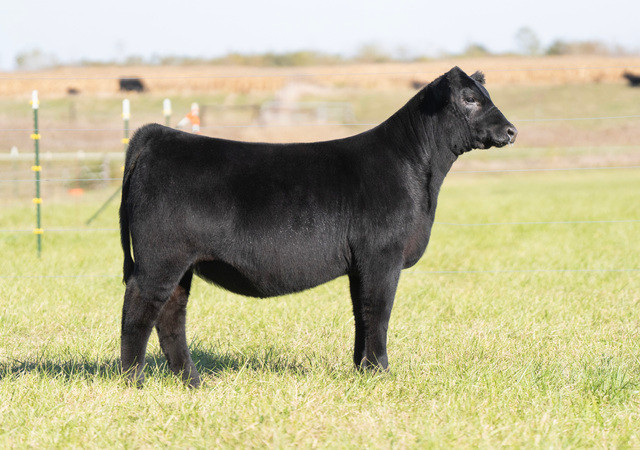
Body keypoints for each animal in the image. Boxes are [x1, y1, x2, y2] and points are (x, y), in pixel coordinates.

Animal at [119, 66, 517, 387]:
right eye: (469, 99)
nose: (511, 130)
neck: (417, 171)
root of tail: (157, 135)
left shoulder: (360, 264)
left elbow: (361, 313)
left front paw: (363, 370)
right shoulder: (382, 256)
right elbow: (379, 311)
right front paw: (381, 372)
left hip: (181, 263)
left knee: (171, 313)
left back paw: (191, 380)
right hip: (161, 257)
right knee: (140, 306)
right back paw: (133, 380)